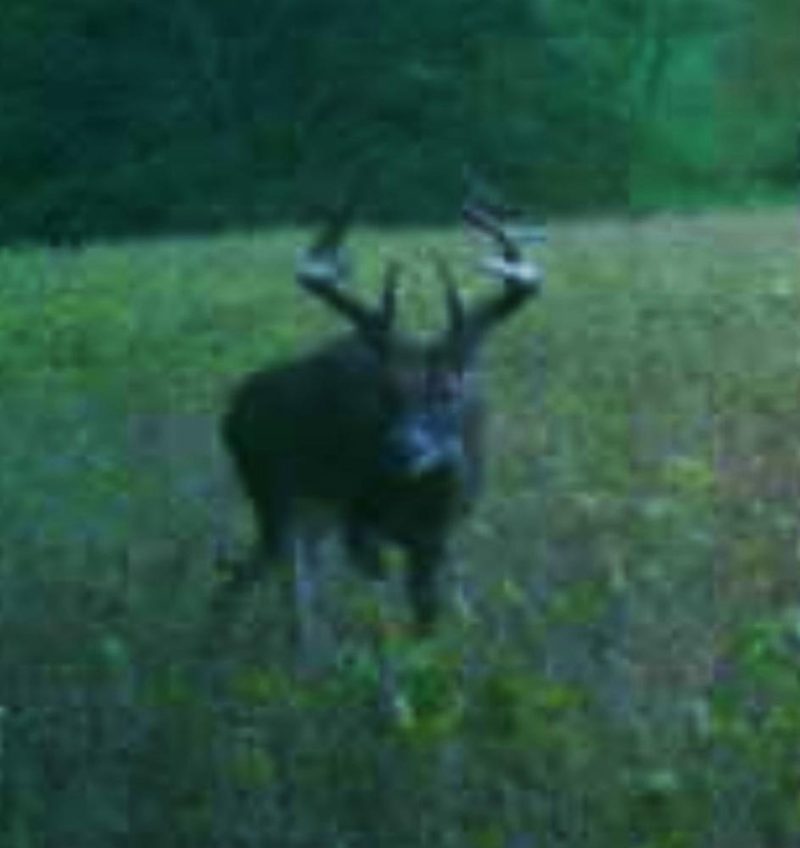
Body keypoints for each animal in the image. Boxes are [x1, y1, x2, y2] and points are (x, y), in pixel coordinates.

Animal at [214, 195, 544, 648]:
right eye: (384, 394)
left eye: (448, 391)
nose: (402, 449)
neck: (419, 504)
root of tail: (233, 409)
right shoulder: (359, 519)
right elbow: (383, 603)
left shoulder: (438, 537)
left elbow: (428, 613)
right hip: (271, 490)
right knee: (279, 580)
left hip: (312, 511)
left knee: (274, 580)